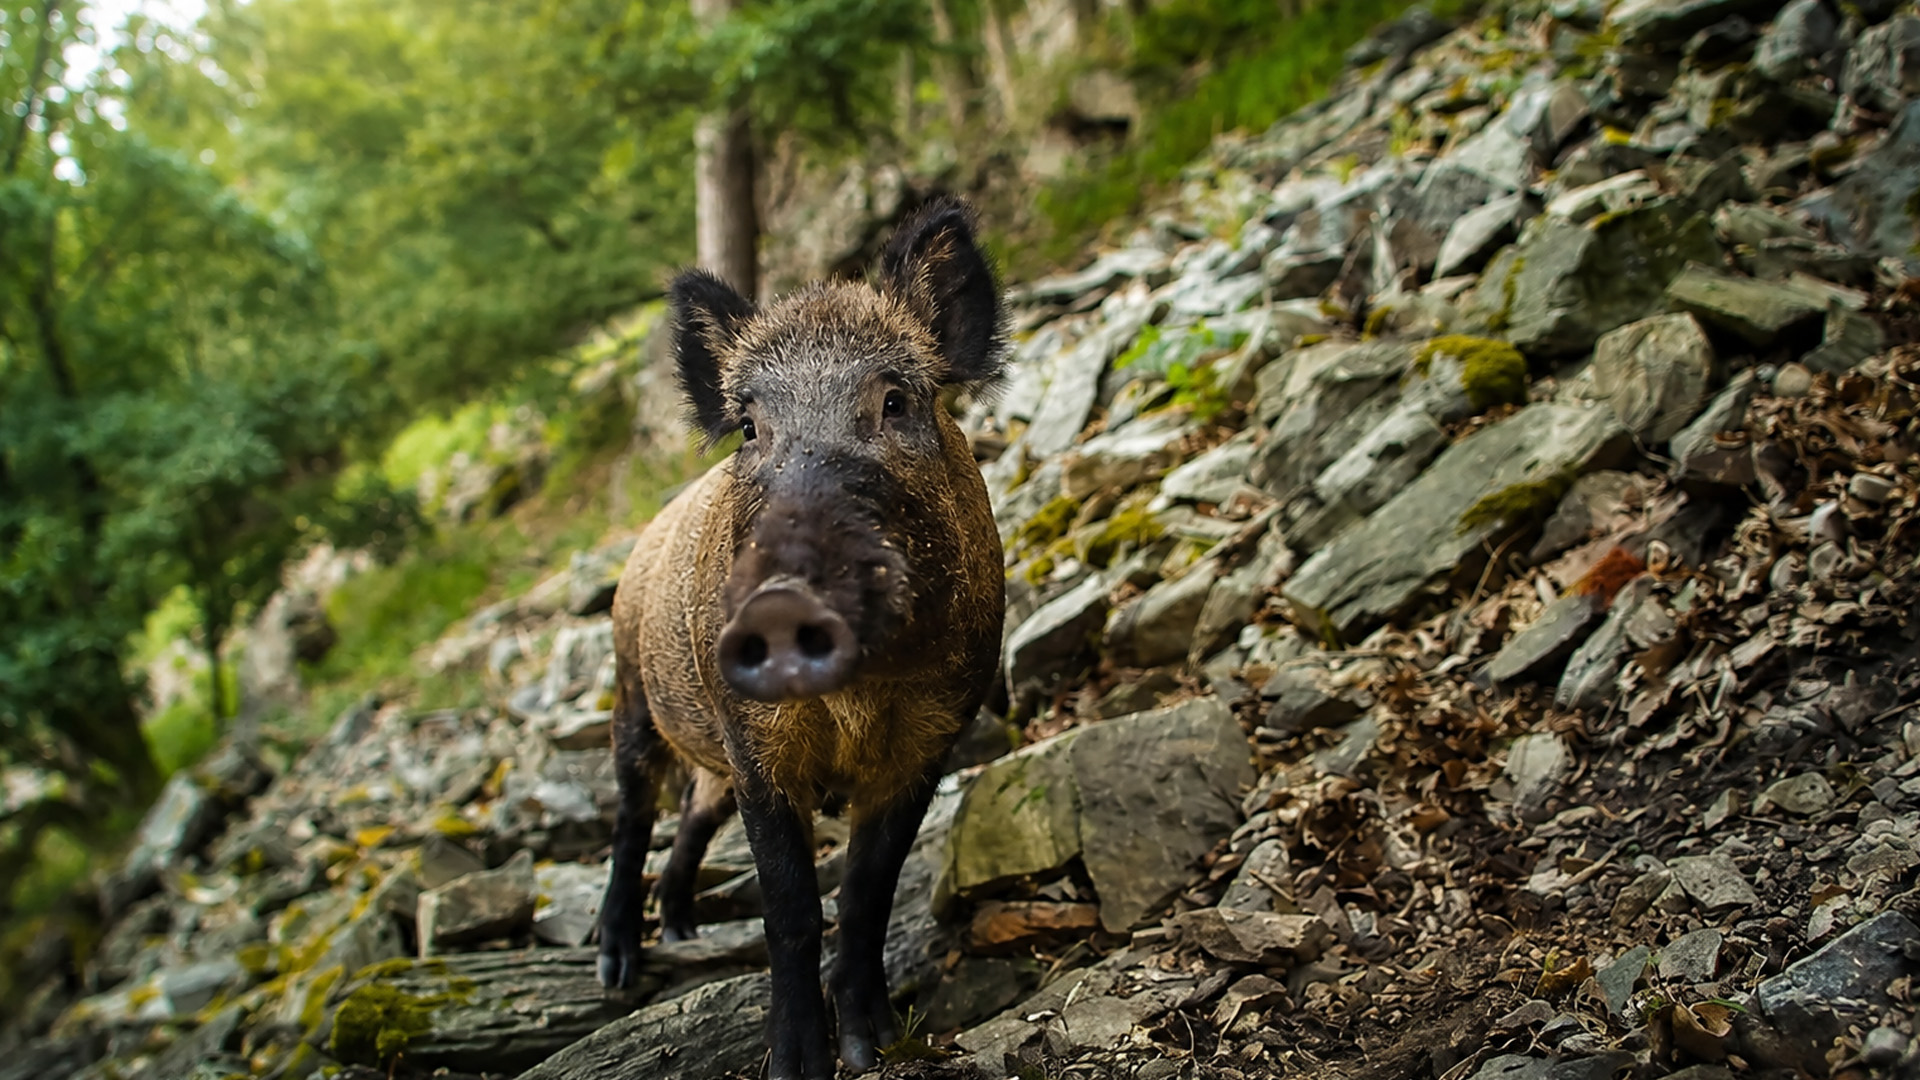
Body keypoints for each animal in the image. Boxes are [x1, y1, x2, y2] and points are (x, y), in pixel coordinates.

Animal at [595, 197, 1007, 1080]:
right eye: (750, 426)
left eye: (897, 400)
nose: (781, 601)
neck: (856, 702)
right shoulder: (757, 745)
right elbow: (789, 909)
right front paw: (797, 1066)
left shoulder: (932, 740)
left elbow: (865, 896)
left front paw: (873, 1043)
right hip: (631, 693)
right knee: (632, 816)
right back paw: (616, 968)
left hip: (707, 759)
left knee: (691, 817)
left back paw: (681, 928)